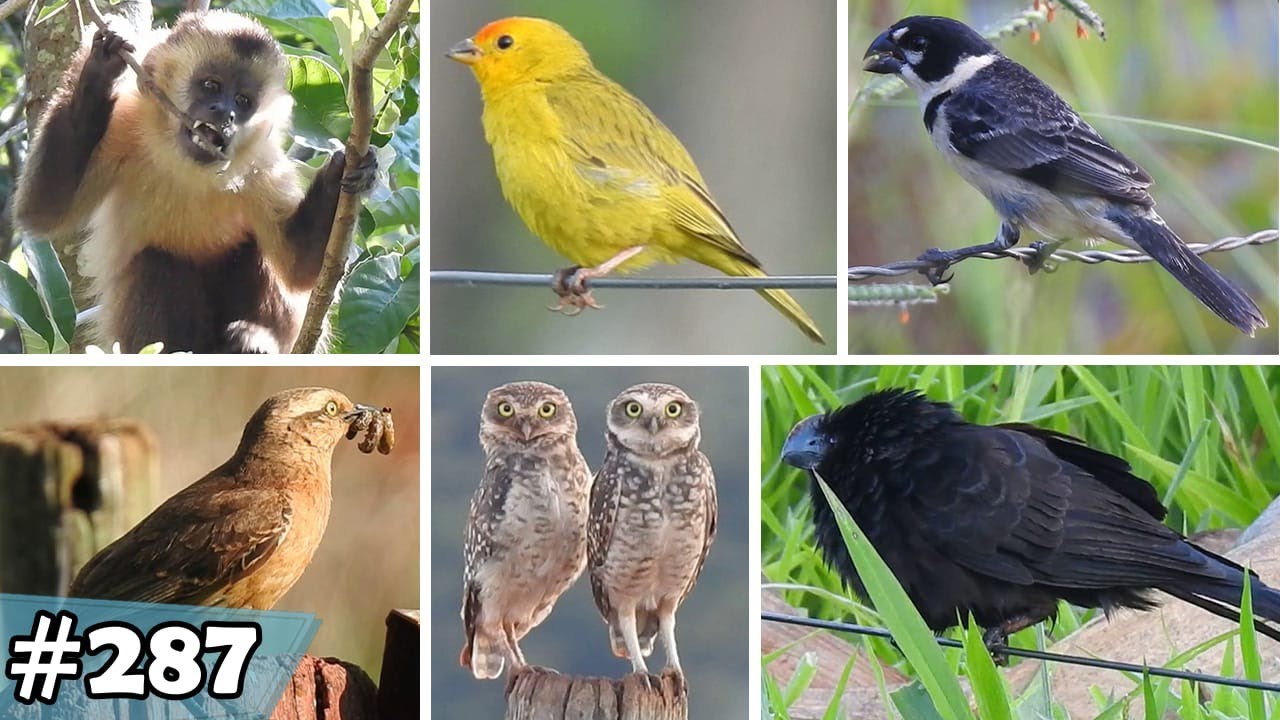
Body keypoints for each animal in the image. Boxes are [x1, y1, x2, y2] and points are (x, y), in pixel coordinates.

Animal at [13, 11, 376, 353]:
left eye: (243, 101)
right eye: (211, 85)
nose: (226, 113)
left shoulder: (261, 165)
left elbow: (300, 268)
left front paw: (346, 171)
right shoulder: (124, 126)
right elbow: (42, 210)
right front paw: (100, 66)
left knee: (249, 250)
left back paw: (252, 343)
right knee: (156, 262)